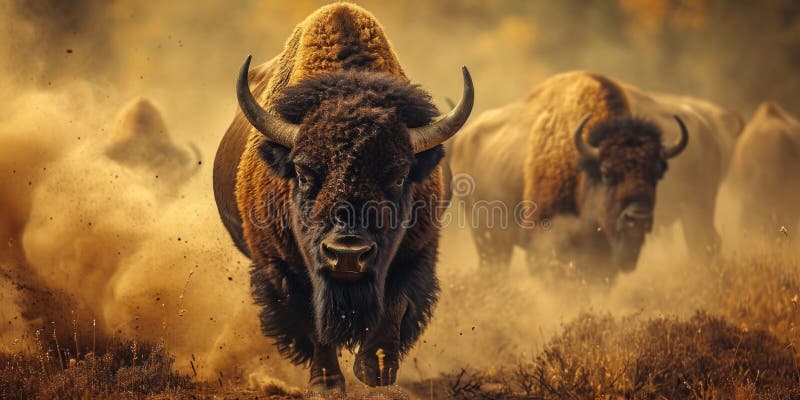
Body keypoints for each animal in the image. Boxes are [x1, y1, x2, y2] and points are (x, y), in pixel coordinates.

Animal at [212, 4, 473, 392]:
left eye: (399, 175)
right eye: (303, 172)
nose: (347, 255)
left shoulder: (414, 253)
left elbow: (394, 306)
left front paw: (377, 372)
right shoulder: (285, 265)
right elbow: (311, 319)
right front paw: (326, 382)